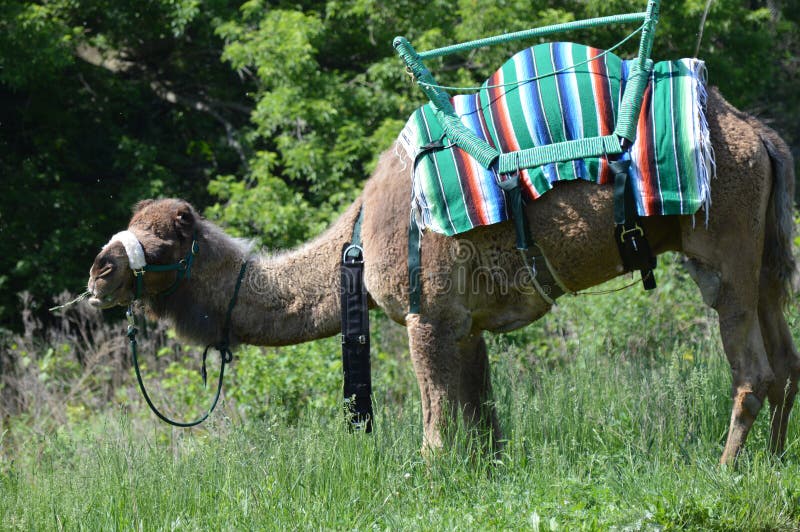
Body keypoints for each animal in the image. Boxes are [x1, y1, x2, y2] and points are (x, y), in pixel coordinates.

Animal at [87, 88, 798, 464]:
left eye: (167, 235)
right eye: (131, 223)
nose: (99, 270)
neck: (356, 240)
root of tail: (757, 135)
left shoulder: (426, 313)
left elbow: (436, 429)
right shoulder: (467, 323)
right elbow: (484, 420)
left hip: (723, 247)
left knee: (753, 370)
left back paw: (724, 469)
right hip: (763, 252)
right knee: (786, 362)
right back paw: (769, 462)